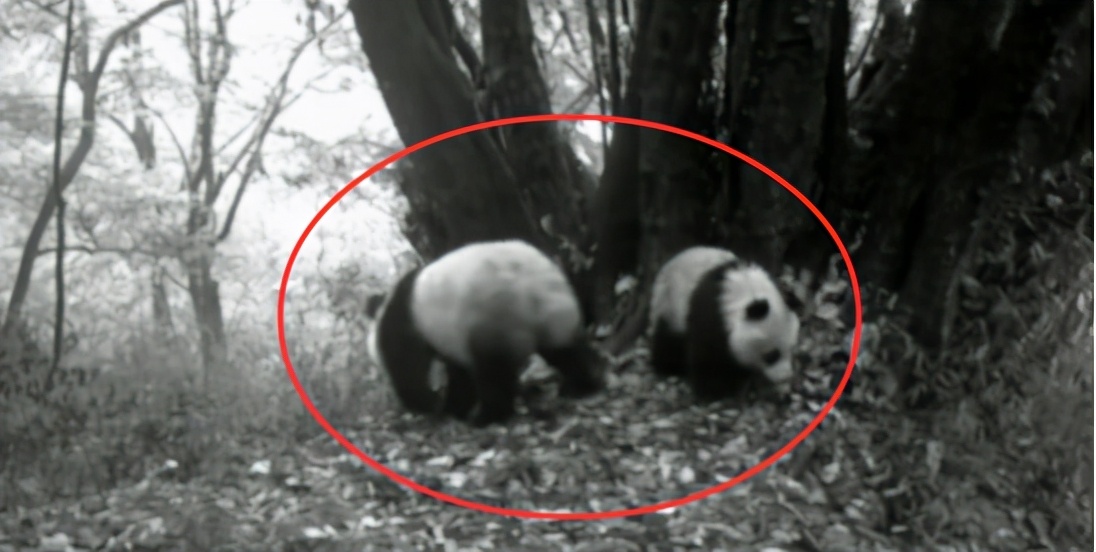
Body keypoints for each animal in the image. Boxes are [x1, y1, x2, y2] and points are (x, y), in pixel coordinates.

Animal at [368, 240, 604, 426]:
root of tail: (527, 288)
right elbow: (459, 373)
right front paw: (451, 408)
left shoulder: (407, 326)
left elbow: (409, 368)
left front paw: (431, 406)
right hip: (555, 304)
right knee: (565, 350)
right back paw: (581, 386)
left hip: (490, 316)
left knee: (493, 372)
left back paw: (486, 417)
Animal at [648, 246, 800, 401]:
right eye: (771, 355)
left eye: (792, 348)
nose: (785, 376)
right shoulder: (710, 314)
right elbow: (707, 355)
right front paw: (715, 390)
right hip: (670, 308)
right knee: (668, 341)